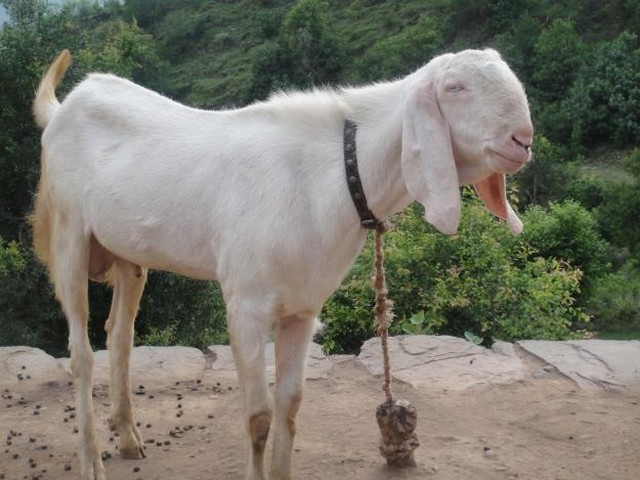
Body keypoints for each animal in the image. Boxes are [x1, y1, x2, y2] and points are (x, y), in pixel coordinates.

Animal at [31, 48, 533, 480]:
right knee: (81, 352)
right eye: (454, 87)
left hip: (127, 256)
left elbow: (290, 406)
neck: (333, 174)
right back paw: (91, 461)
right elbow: (258, 416)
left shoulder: (303, 307)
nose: (523, 140)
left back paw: (130, 439)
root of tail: (63, 110)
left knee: (120, 336)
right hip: (69, 233)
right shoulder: (246, 305)